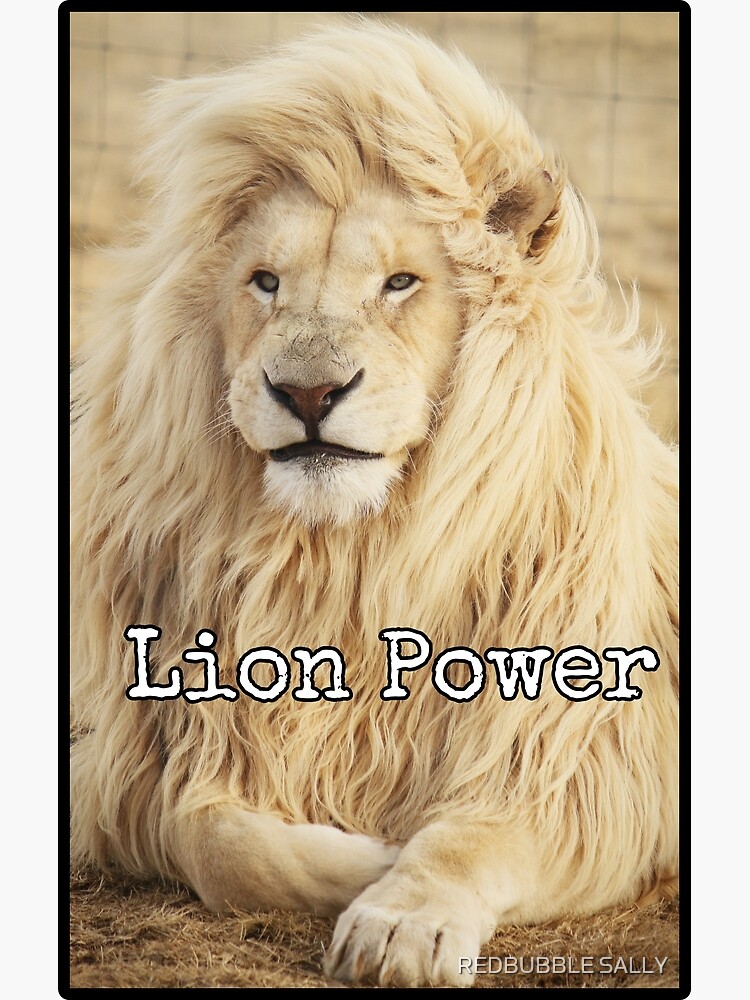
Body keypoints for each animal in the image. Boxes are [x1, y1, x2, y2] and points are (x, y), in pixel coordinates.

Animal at [70, 21, 679, 989]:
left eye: (400, 283)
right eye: (265, 282)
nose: (308, 393)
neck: (346, 562)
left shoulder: (585, 770)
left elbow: (469, 837)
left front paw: (401, 918)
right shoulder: (151, 758)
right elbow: (215, 839)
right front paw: (365, 857)